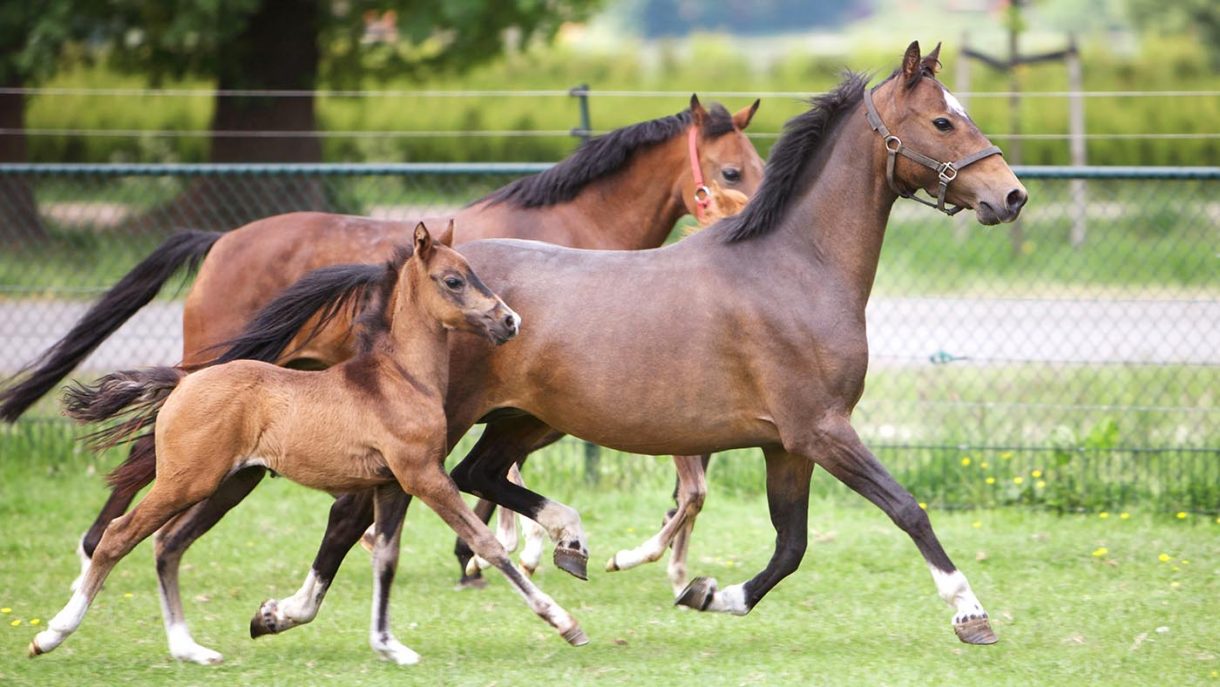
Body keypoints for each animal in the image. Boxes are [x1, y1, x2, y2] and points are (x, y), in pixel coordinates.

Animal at [0, 96, 765, 590]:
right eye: (730, 171)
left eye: (757, 167)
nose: (750, 220)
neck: (571, 235)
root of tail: (219, 238)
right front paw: (497, 554)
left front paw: (488, 553)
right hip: (219, 371)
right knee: (143, 454)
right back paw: (95, 551)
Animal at [28, 223, 590, 666]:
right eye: (453, 280)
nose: (511, 321)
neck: (398, 377)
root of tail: (184, 381)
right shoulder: (423, 477)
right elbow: (487, 543)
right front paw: (564, 622)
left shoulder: (392, 484)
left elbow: (386, 558)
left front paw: (388, 645)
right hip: (187, 481)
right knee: (119, 536)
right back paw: (52, 635)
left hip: (232, 483)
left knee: (168, 544)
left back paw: (190, 648)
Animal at [210, 42, 1026, 645]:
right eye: (943, 123)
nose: (1011, 195)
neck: (793, 267)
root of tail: (403, 269)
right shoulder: (821, 429)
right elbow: (907, 509)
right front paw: (971, 613)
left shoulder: (787, 444)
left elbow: (789, 546)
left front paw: (708, 593)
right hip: (444, 419)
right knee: (359, 511)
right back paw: (289, 610)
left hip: (522, 418)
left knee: (474, 475)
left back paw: (561, 543)